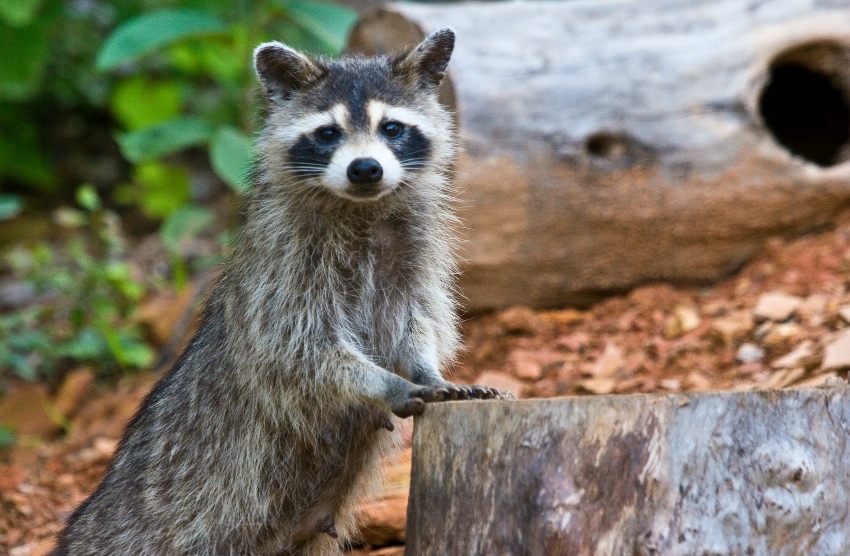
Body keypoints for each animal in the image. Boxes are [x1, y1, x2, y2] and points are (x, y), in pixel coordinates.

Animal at [51, 29, 507, 556]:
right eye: (328, 133)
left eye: (392, 128)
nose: (366, 169)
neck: (362, 208)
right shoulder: (283, 271)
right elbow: (296, 351)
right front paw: (382, 382)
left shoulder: (415, 256)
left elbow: (418, 321)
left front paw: (427, 368)